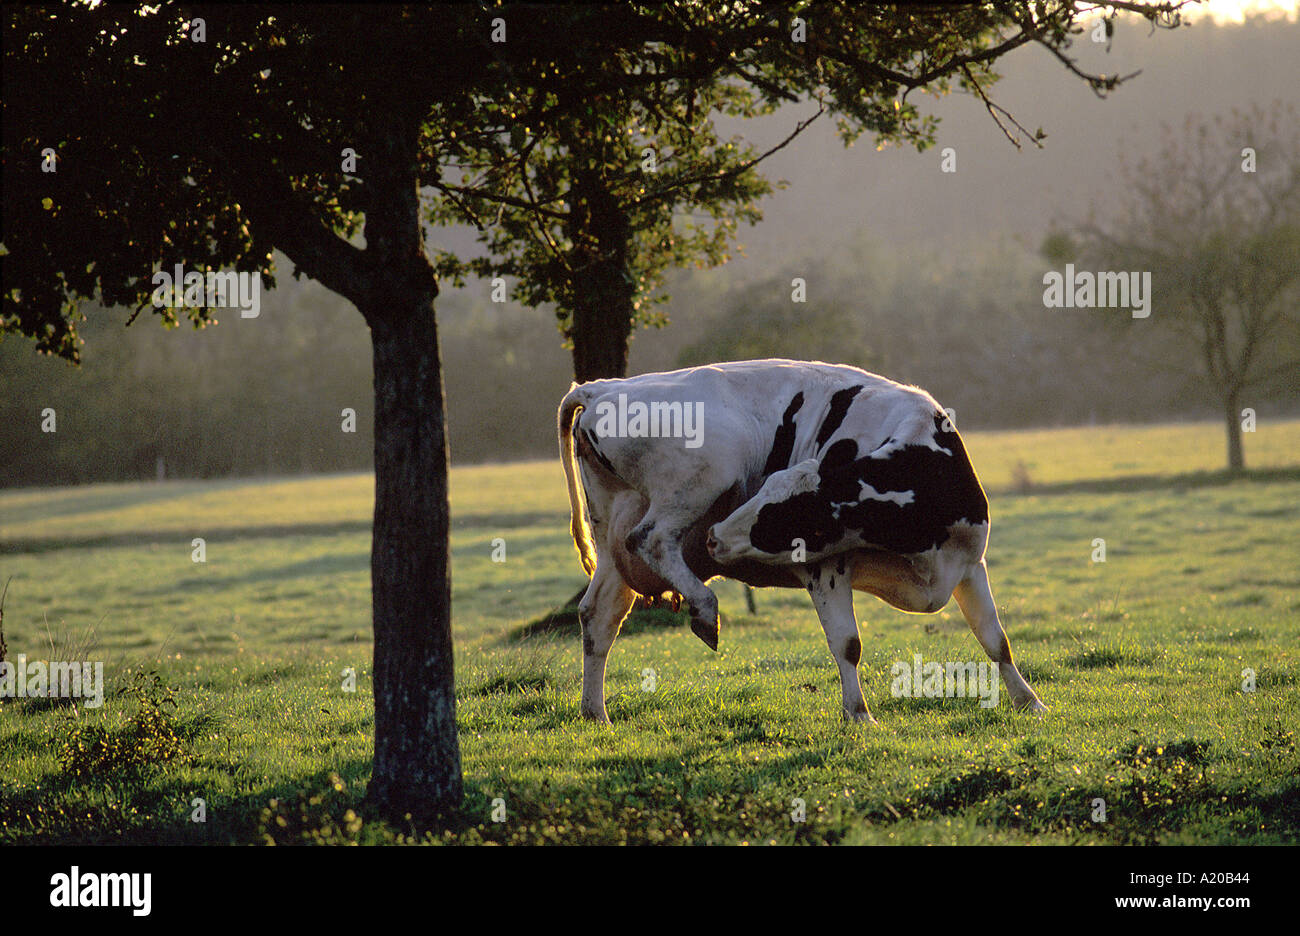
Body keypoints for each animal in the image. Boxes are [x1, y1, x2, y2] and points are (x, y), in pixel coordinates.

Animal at [557, 359, 1046, 723]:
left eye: (778, 515)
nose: (714, 538)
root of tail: (603, 387)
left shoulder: (968, 565)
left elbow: (995, 639)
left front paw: (1029, 701)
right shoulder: (825, 567)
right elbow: (848, 644)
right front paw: (858, 714)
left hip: (611, 540)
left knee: (599, 615)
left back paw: (595, 712)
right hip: (700, 479)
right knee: (652, 539)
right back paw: (705, 609)